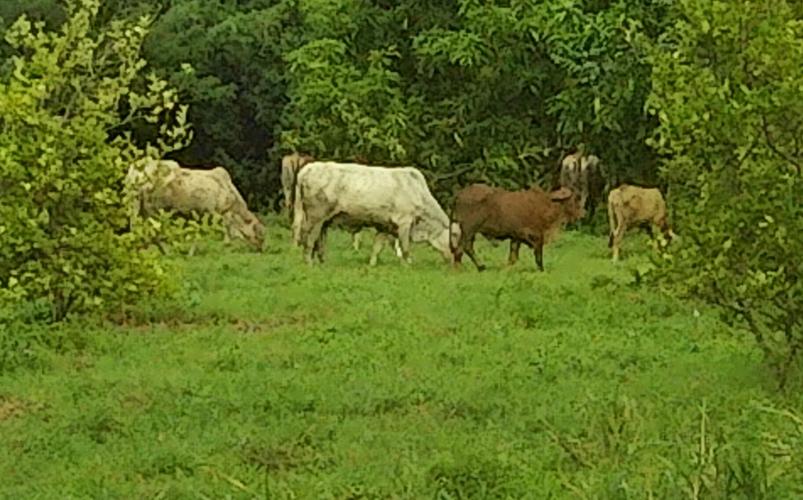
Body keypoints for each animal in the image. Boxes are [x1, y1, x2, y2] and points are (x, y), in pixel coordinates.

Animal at [124, 159, 265, 251]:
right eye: (259, 233)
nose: (261, 248)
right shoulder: (213, 212)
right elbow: (221, 230)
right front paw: (226, 244)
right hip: (153, 208)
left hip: (137, 205)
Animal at [292, 162, 454, 266]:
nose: (454, 260)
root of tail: (307, 169)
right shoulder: (404, 222)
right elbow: (405, 247)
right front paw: (408, 264)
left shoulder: (385, 226)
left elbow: (377, 246)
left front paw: (372, 264)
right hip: (315, 217)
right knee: (309, 239)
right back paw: (309, 263)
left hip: (324, 221)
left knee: (320, 240)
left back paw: (322, 262)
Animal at [450, 185, 584, 271]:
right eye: (575, 199)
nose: (583, 213)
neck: (547, 204)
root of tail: (459, 195)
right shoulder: (534, 236)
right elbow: (538, 256)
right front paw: (541, 270)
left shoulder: (515, 237)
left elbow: (513, 257)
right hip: (469, 230)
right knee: (465, 248)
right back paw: (478, 267)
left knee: (461, 249)